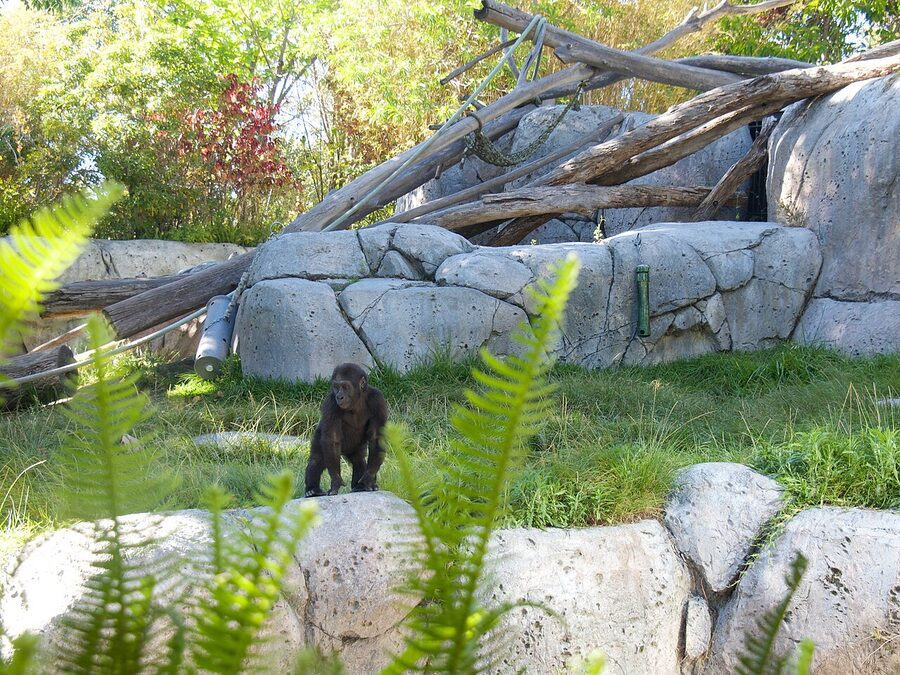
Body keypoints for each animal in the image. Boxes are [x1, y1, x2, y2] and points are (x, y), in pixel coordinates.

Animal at [304, 363, 388, 498]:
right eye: (336, 387)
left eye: (345, 387)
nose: (340, 397)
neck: (357, 399)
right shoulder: (331, 402)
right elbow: (332, 439)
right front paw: (336, 480)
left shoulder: (378, 399)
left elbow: (376, 438)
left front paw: (369, 478)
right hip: (319, 436)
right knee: (316, 460)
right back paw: (312, 490)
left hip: (355, 448)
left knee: (358, 459)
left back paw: (359, 486)